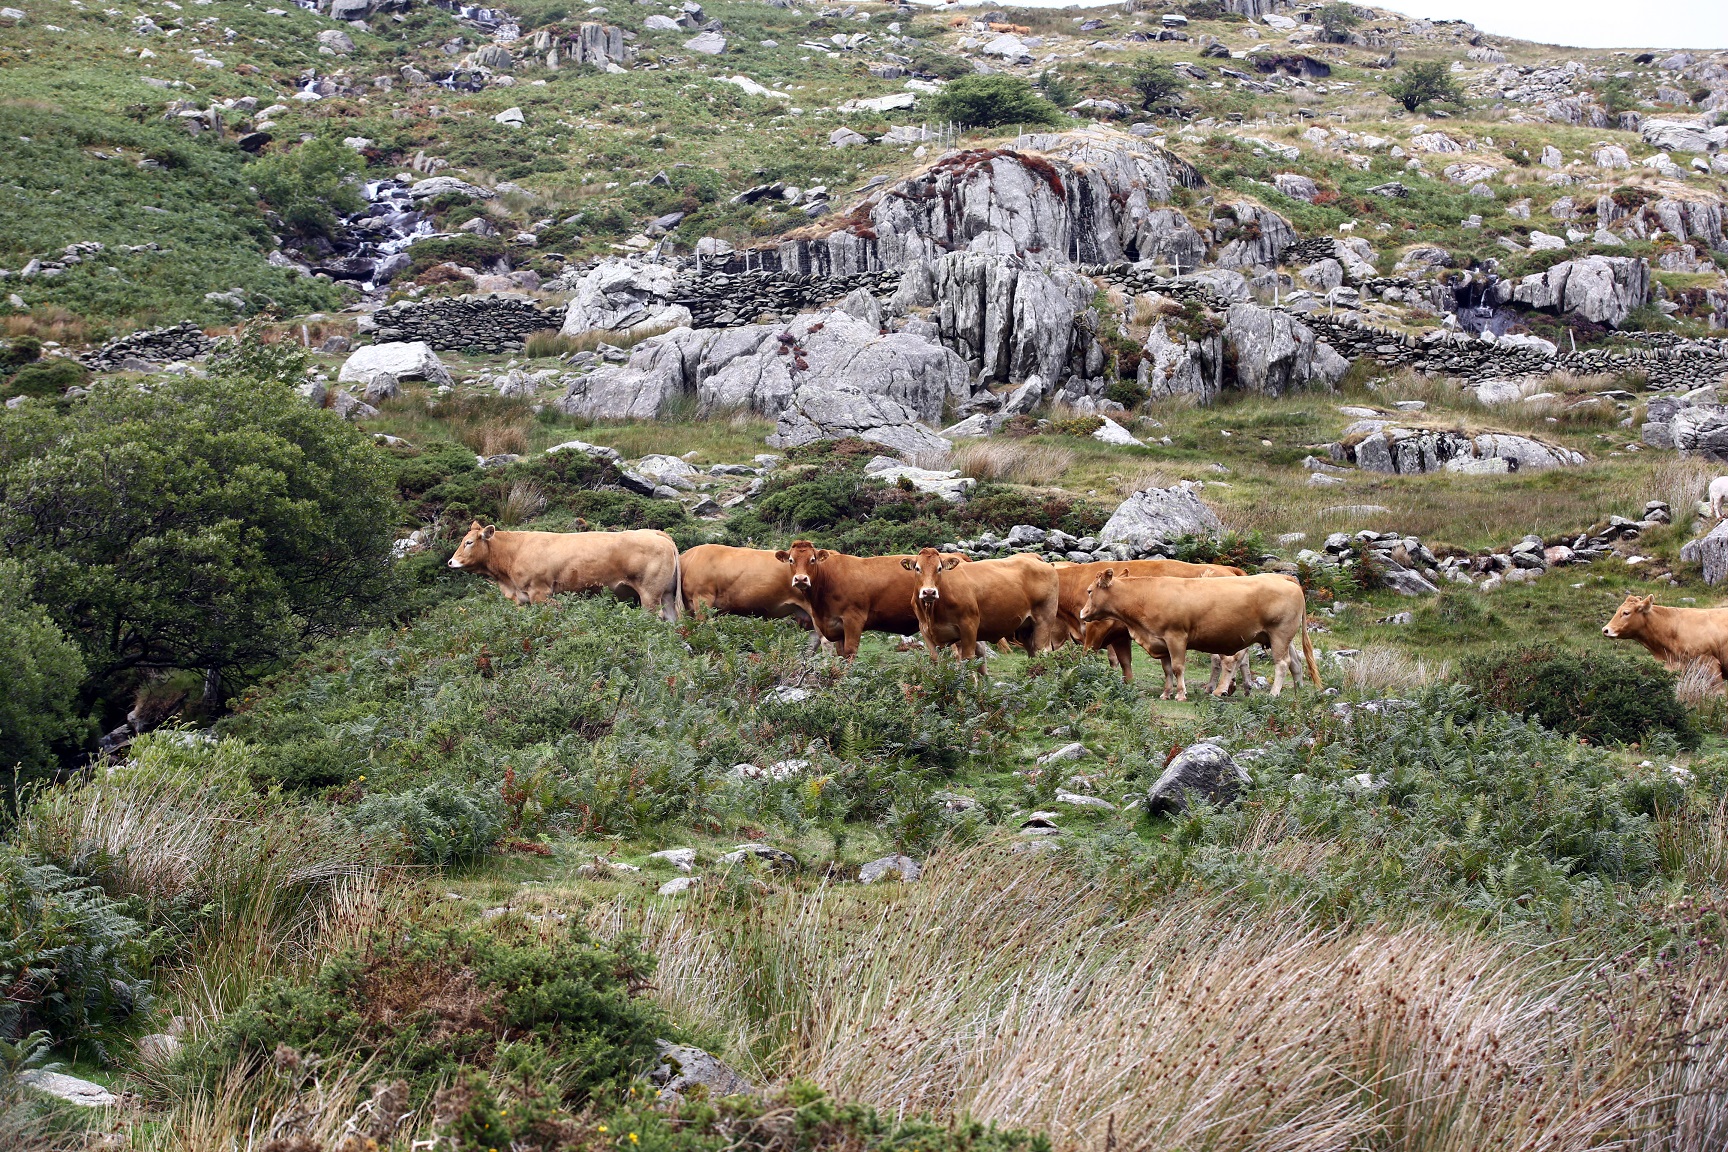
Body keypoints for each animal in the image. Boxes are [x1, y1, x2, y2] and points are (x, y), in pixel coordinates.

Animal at [447, 522, 681, 621]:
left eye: (468, 542)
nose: (450, 562)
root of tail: (656, 533)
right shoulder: (522, 599)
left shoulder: (540, 592)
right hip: (667, 595)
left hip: (650, 594)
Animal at [775, 540, 968, 658]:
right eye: (791, 560)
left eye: (812, 559)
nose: (801, 579)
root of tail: (958, 556)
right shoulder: (835, 626)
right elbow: (840, 654)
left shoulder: (853, 619)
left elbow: (850, 652)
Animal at [901, 548, 1062, 660]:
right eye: (917, 568)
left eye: (939, 568)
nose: (929, 592)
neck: (933, 612)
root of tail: (1036, 559)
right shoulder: (926, 631)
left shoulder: (969, 626)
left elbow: (968, 661)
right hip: (1025, 628)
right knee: (1032, 653)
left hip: (1044, 620)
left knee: (1043, 651)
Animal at [1054, 559, 1246, 683]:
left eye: (1089, 592)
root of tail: (1228, 569)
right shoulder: (1120, 635)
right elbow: (1124, 662)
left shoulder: (1097, 626)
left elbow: (1088, 656)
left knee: (1230, 658)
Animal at [1078, 570, 1320, 700]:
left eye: (1089, 591)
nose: (1082, 613)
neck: (1147, 596)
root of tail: (1283, 578)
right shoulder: (1161, 642)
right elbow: (1167, 670)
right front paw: (1166, 693)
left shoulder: (1176, 636)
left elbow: (1178, 667)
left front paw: (1180, 694)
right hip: (1279, 636)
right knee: (1295, 663)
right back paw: (1298, 691)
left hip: (1280, 633)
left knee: (1281, 664)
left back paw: (1273, 693)